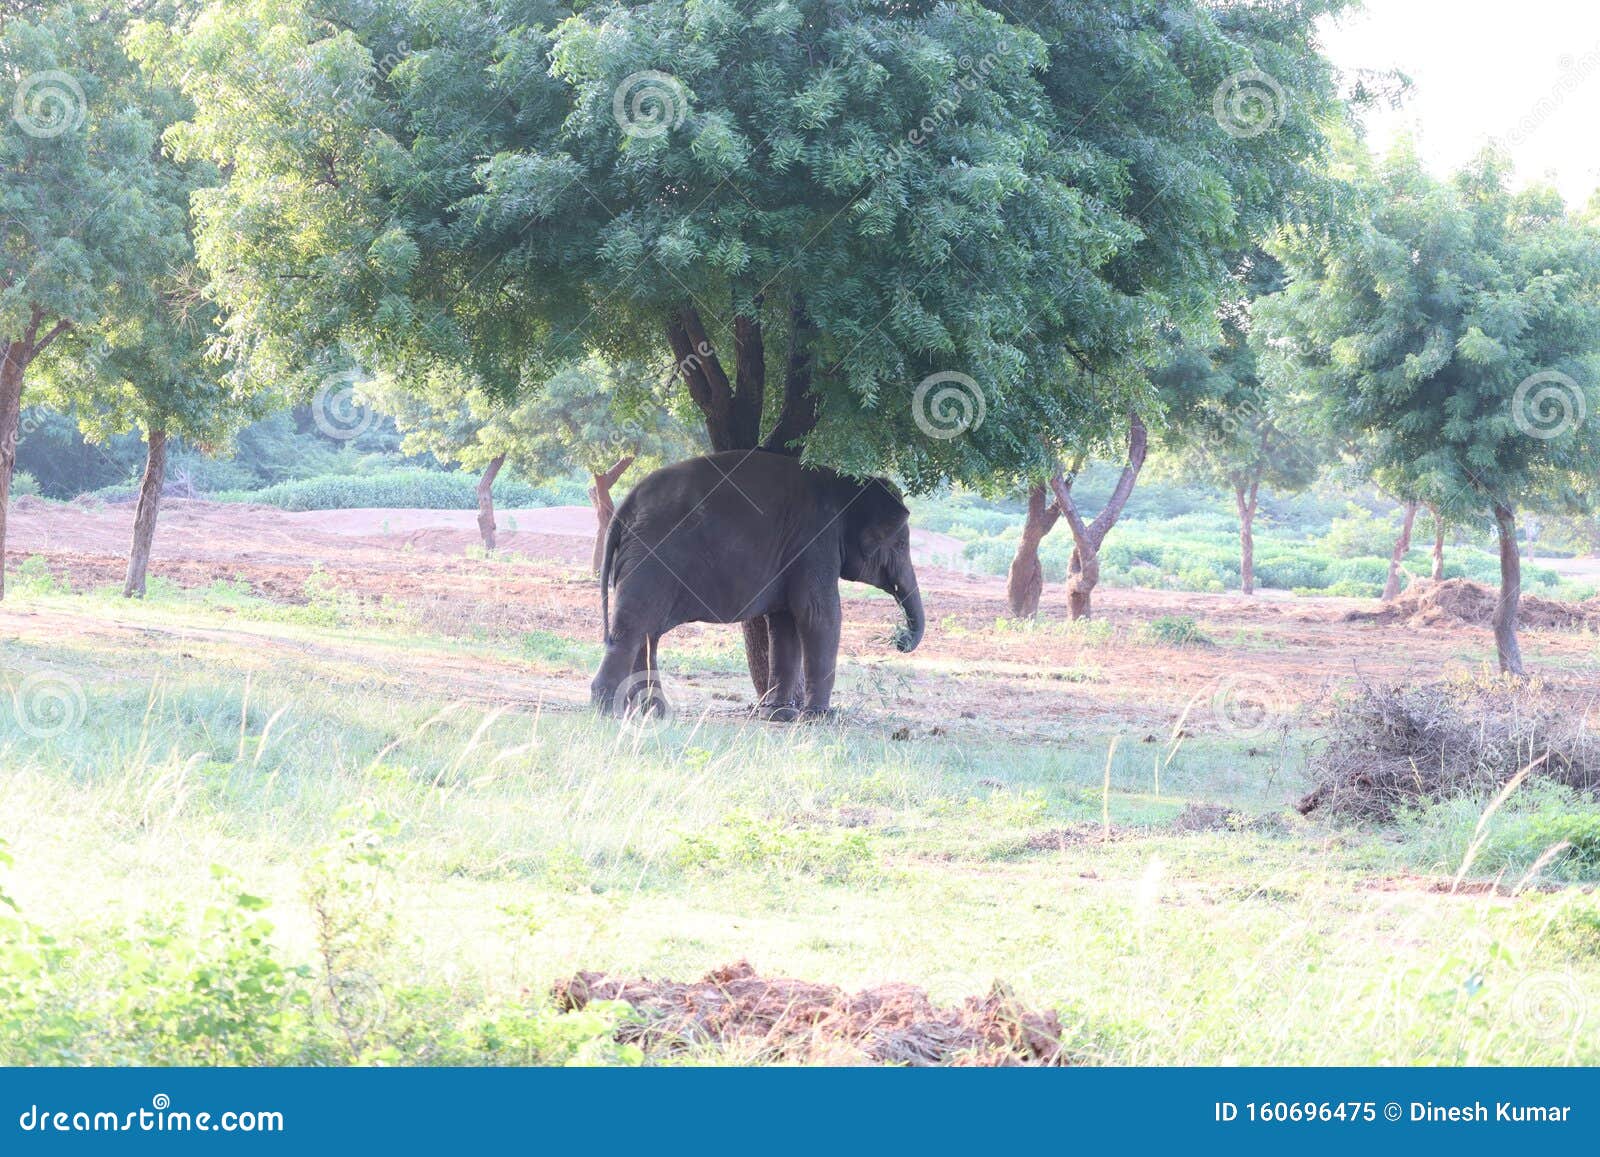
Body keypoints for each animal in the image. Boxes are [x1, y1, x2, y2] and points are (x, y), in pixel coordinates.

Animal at [590, 450, 925, 720]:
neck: (847, 483)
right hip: (650, 561)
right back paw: (608, 711)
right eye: (901, 544)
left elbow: (785, 623)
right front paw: (817, 719)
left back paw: (654, 714)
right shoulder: (815, 543)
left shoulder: (796, 552)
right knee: (634, 629)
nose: (899, 640)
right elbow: (819, 615)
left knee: (647, 635)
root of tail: (625, 507)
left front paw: (778, 716)